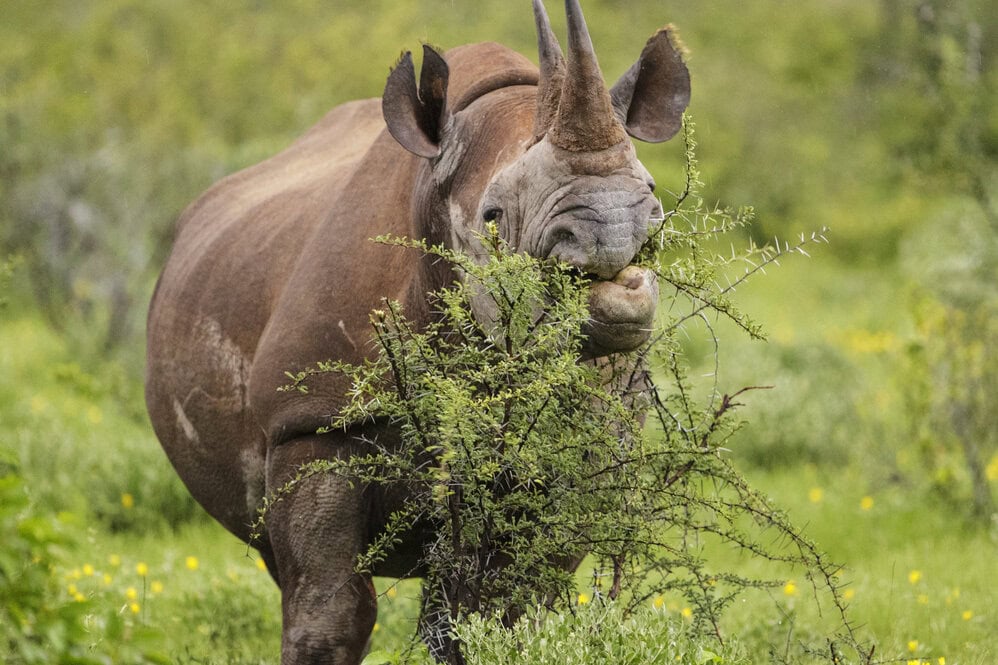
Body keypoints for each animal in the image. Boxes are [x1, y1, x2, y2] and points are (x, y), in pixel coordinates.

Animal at [145, 0, 690, 662]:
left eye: (653, 193)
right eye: (492, 217)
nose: (611, 234)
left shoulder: (580, 449)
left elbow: (498, 615)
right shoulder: (310, 421)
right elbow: (330, 613)